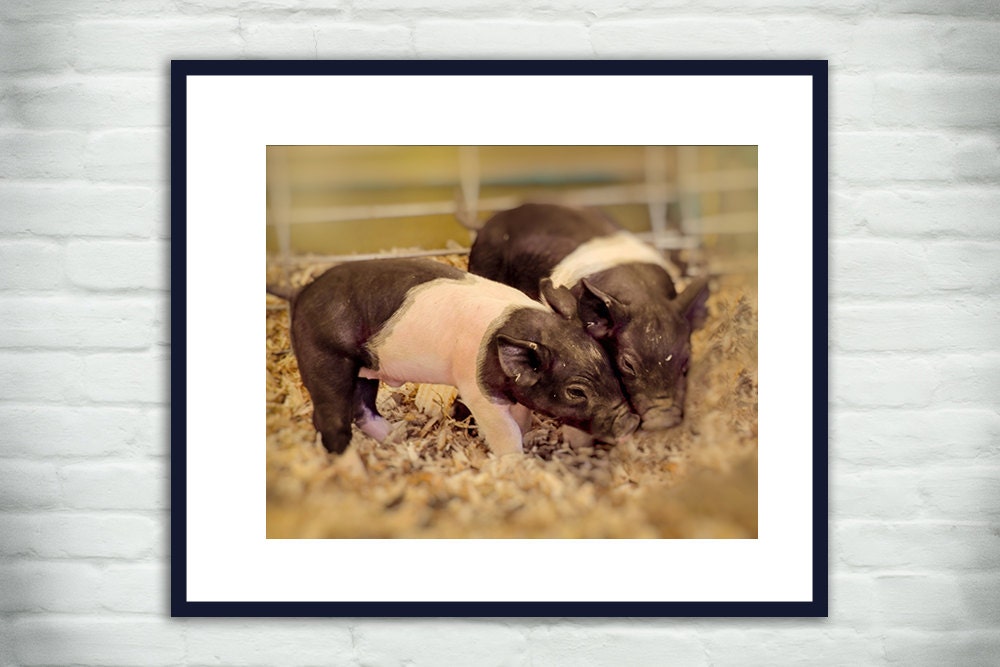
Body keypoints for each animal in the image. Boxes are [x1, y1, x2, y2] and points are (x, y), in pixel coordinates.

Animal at [269, 258, 639, 456]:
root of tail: (301, 291)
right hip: (324, 357)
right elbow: (505, 430)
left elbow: (523, 419)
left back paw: (400, 438)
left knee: (361, 408)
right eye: (575, 391)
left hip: (365, 369)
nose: (631, 422)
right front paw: (515, 463)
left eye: (608, 366)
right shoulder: (476, 388)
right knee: (330, 419)